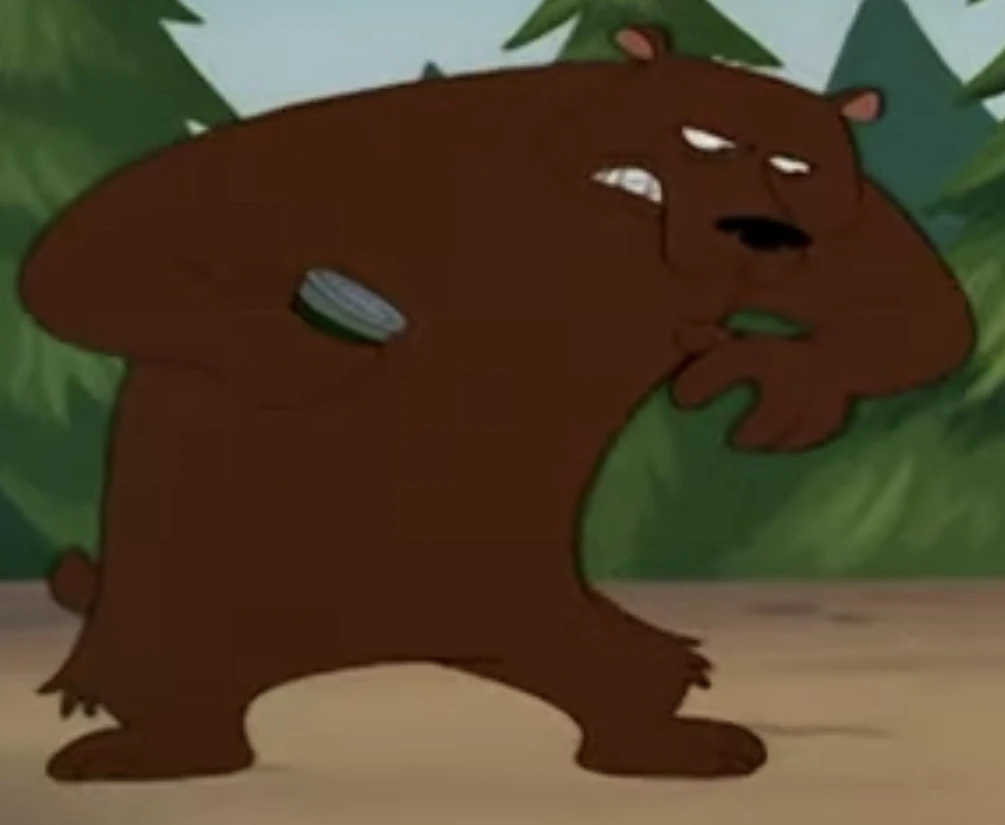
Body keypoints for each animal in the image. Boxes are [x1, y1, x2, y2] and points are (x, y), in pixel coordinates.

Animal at [21, 25, 973, 783]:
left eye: (795, 166)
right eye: (701, 137)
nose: (761, 232)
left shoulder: (844, 233)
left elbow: (914, 304)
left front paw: (775, 380)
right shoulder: (388, 153)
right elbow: (124, 222)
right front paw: (298, 353)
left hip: (526, 596)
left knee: (616, 672)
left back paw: (671, 735)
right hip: (195, 581)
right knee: (173, 672)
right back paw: (149, 747)